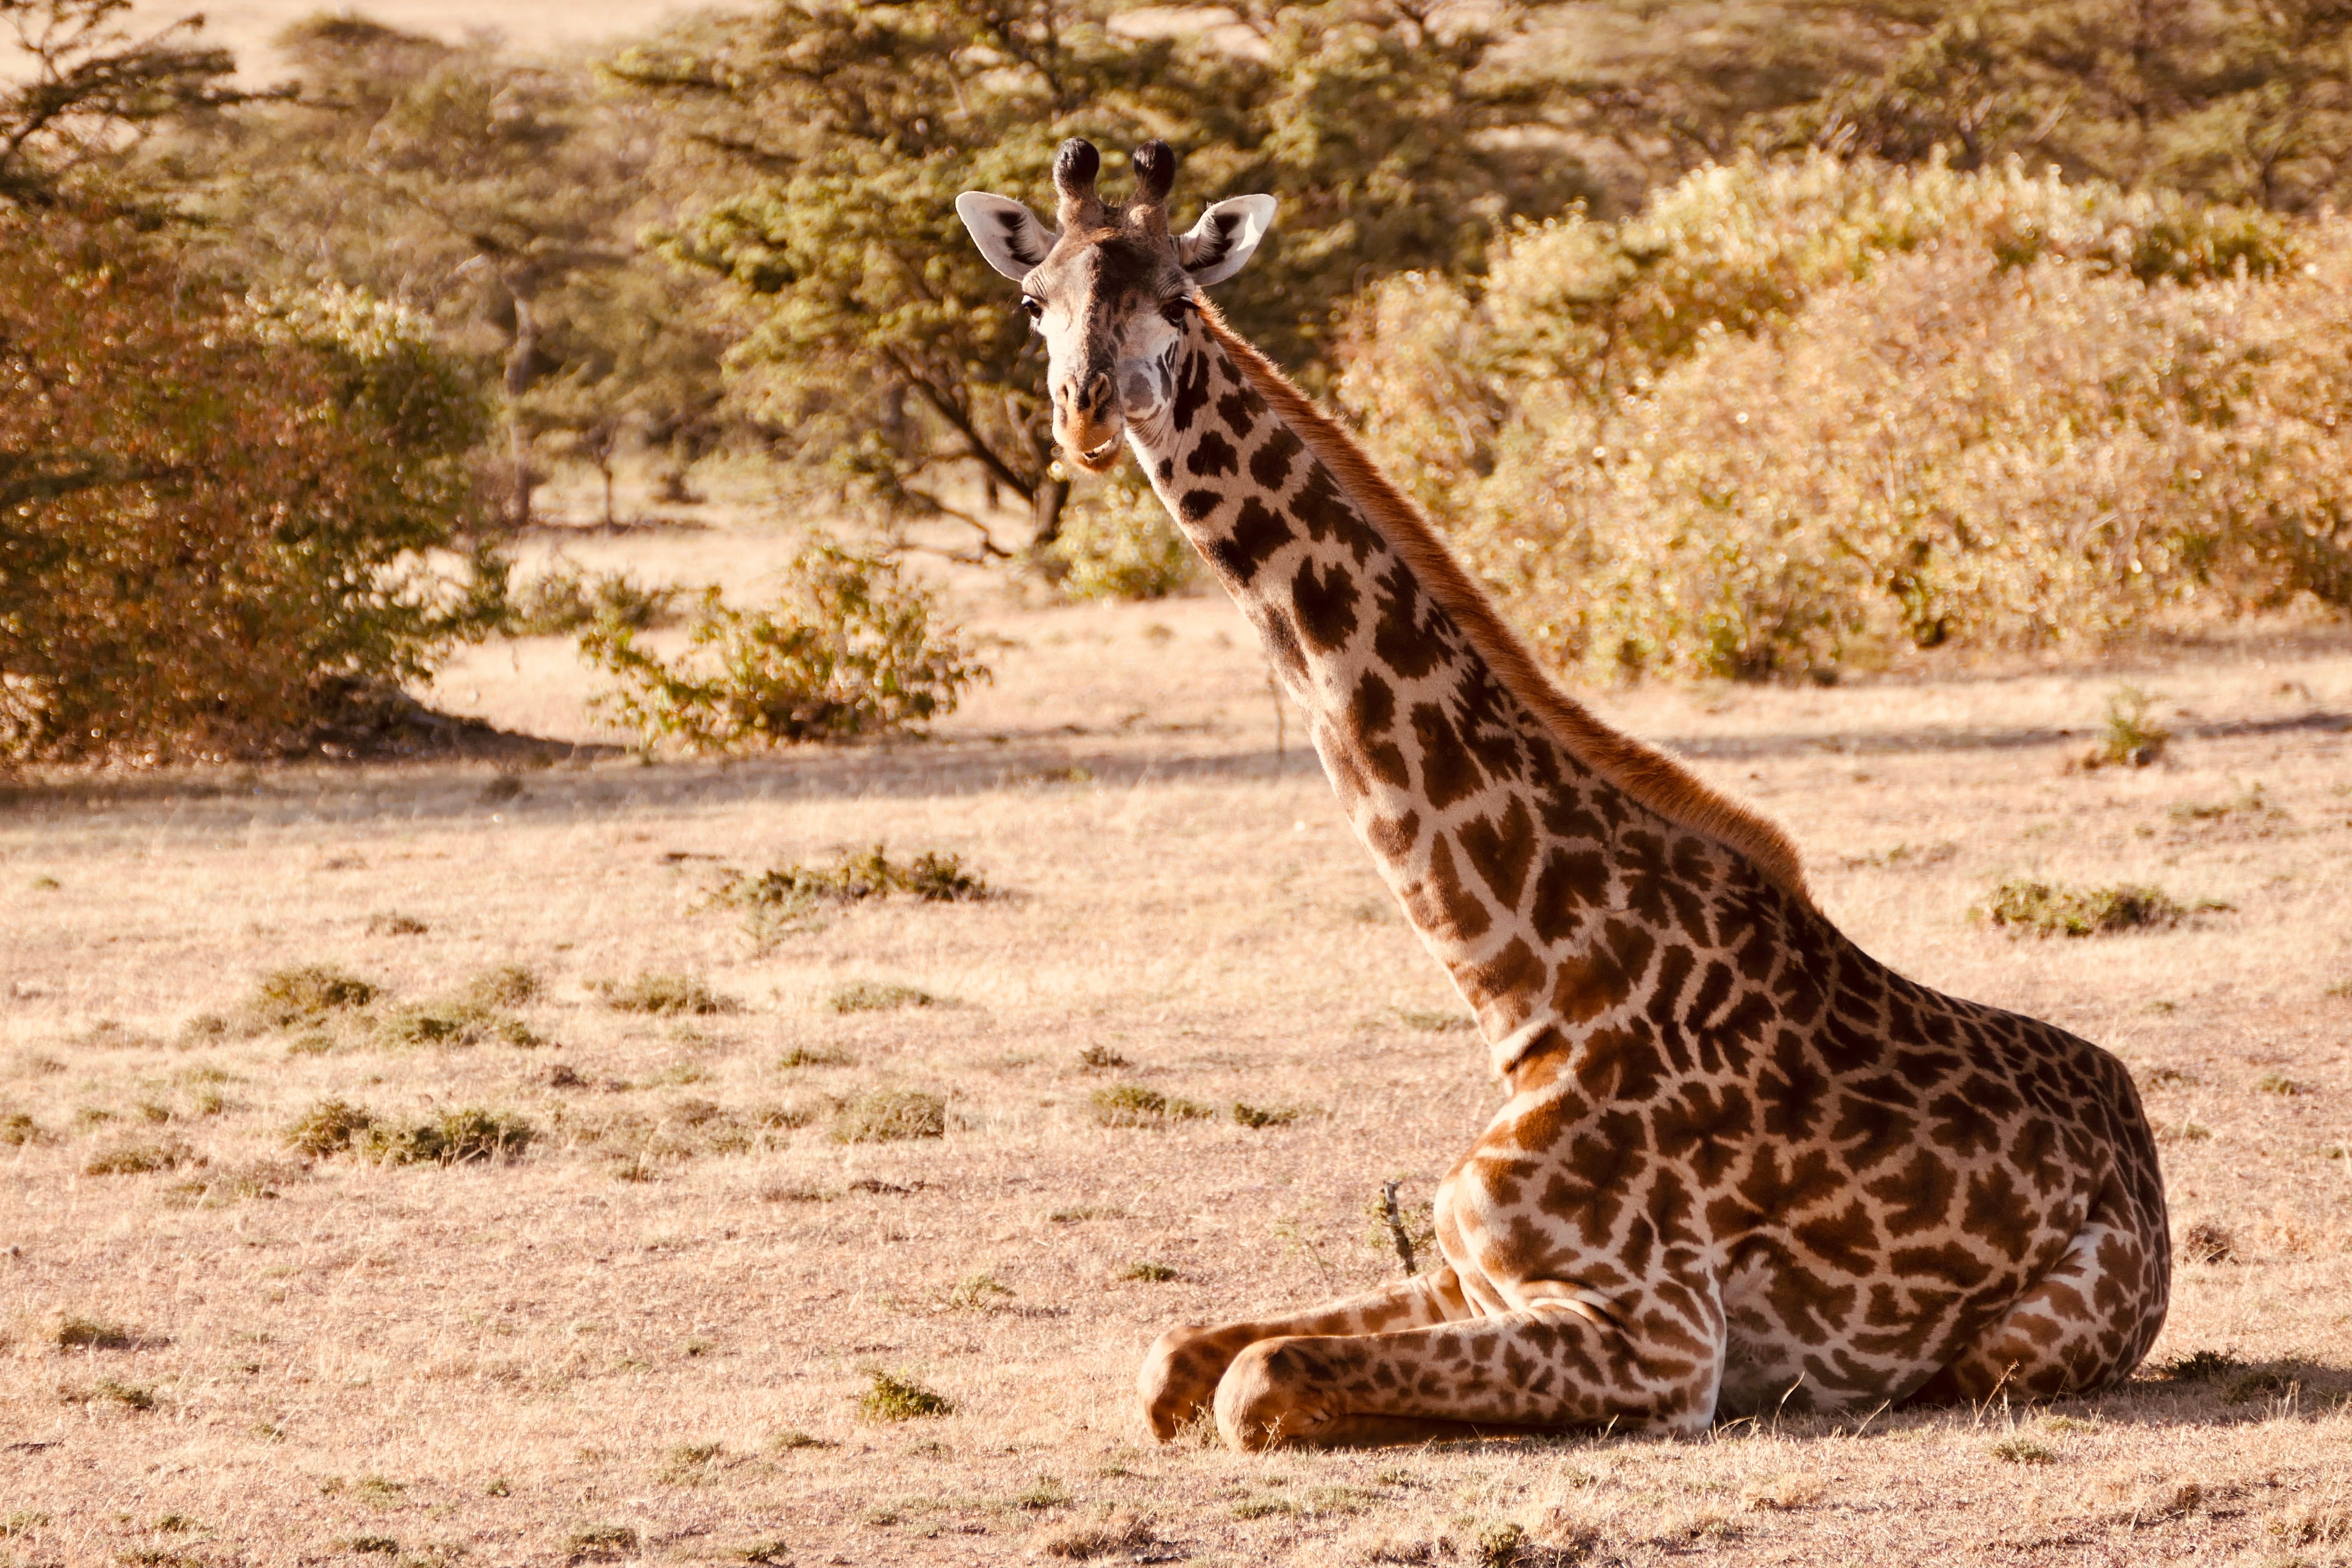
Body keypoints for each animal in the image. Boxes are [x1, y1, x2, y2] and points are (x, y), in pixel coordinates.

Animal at [956, 139, 2171, 1451]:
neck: (1530, 983)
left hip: (2015, 1348)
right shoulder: (1458, 1274)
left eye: (1181, 300)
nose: (1085, 411)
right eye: (1033, 302)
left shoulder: (1659, 1339)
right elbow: (1178, 1353)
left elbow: (1257, 1378)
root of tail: (2141, 1146)